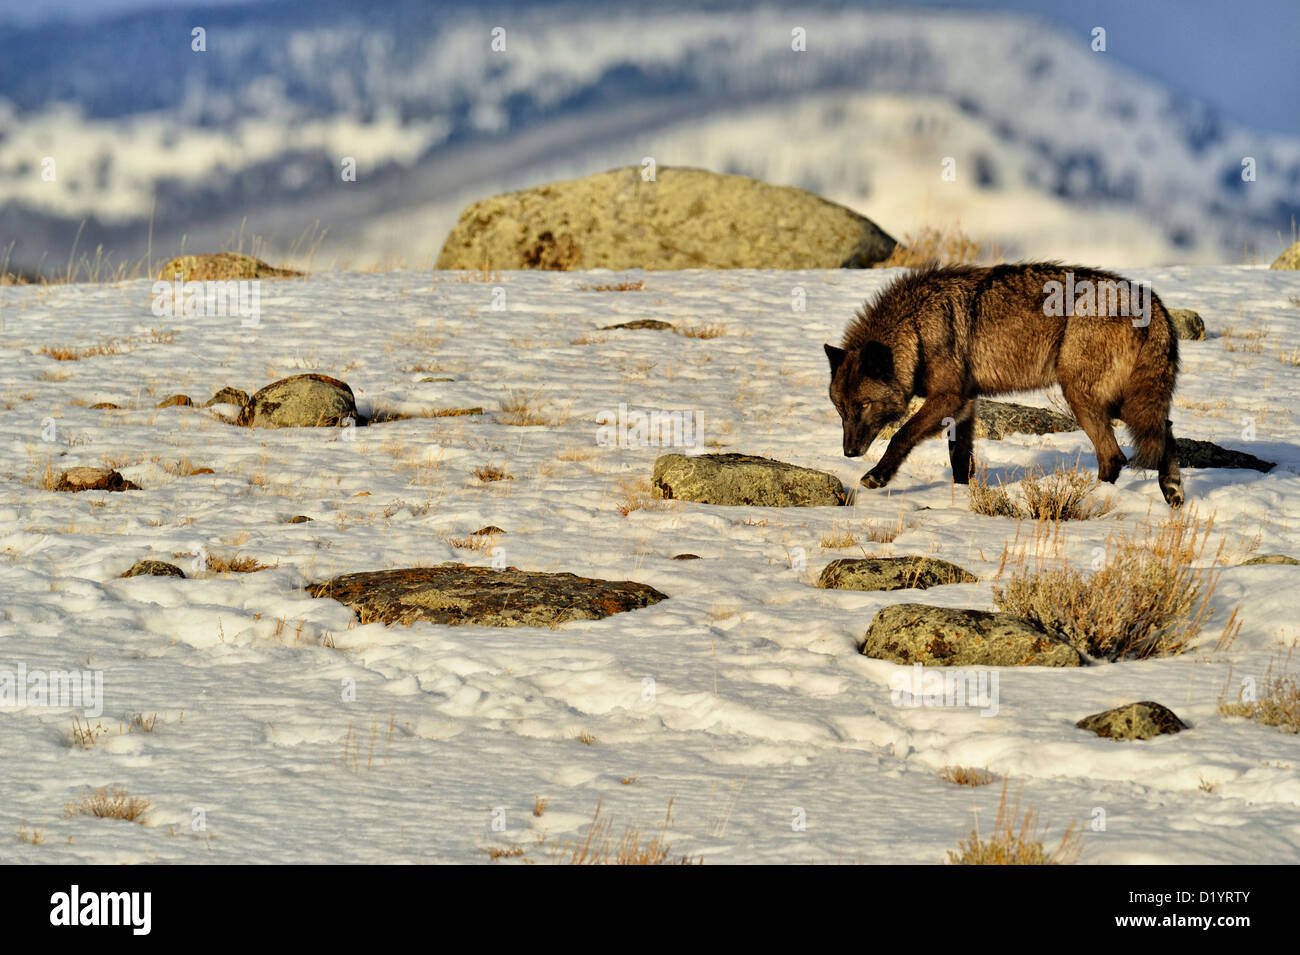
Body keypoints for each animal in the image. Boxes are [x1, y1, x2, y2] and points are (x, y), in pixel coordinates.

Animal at [825, 262, 1184, 507]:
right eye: (841, 408)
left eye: (865, 405)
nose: (849, 452)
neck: (916, 328)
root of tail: (1152, 300)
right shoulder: (965, 404)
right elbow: (960, 459)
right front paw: (961, 498)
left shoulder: (948, 397)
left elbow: (902, 435)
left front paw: (877, 476)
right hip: (1123, 402)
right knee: (1164, 428)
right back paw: (1173, 492)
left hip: (1085, 398)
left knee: (1115, 456)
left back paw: (1092, 497)